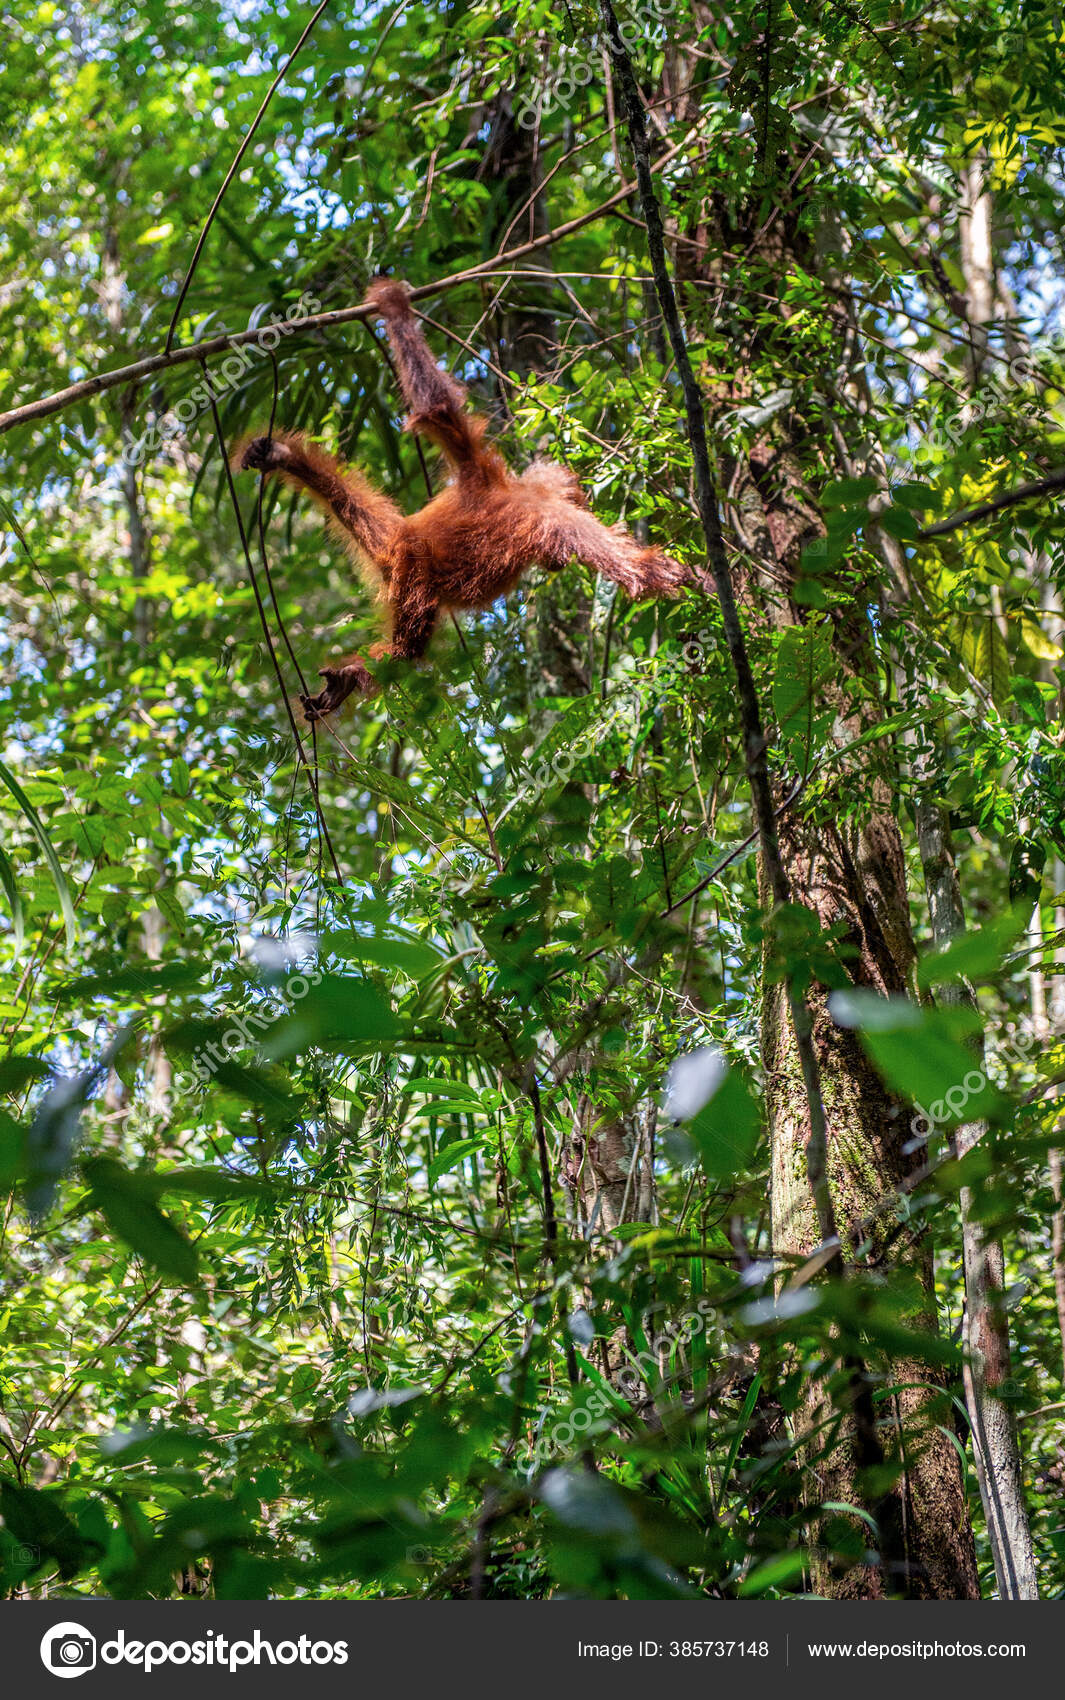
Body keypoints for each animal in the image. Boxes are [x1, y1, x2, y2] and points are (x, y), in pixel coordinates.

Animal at [235, 278, 690, 721]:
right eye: (576, 501)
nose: (556, 564)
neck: (520, 491)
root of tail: (397, 548)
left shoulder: (475, 469)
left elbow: (438, 416)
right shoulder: (550, 513)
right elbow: (438, 409)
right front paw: (395, 306)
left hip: (392, 543)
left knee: (344, 498)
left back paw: (284, 458)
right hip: (416, 578)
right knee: (409, 646)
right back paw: (353, 676)